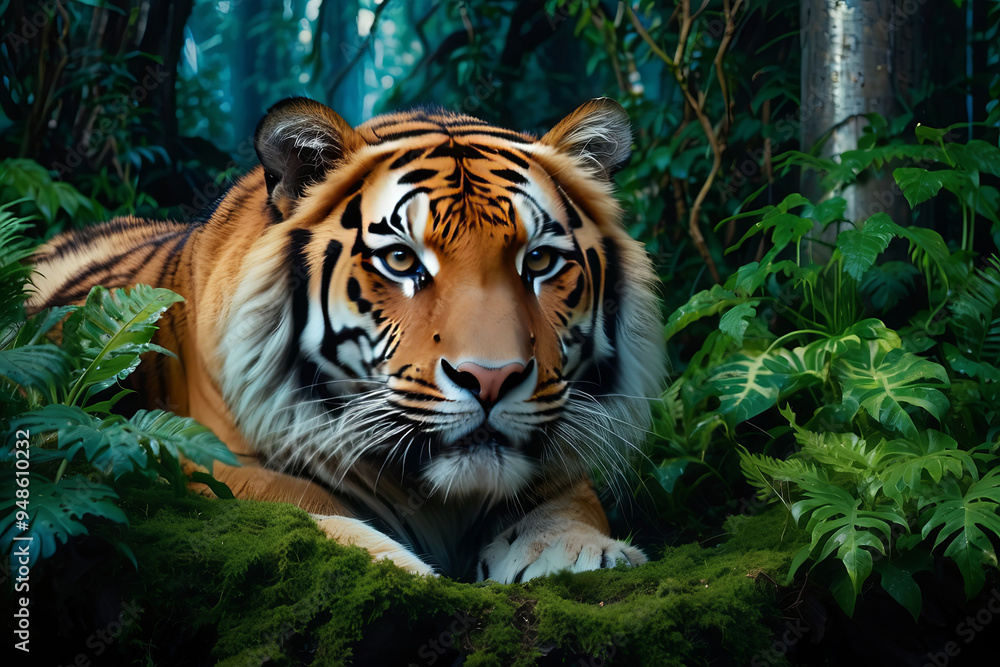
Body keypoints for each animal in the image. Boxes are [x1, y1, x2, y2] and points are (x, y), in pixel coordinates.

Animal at [28, 97, 665, 582]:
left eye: (538, 261)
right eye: (401, 260)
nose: (491, 378)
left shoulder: (556, 461)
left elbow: (568, 505)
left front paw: (586, 554)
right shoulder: (190, 455)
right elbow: (297, 507)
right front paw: (396, 567)